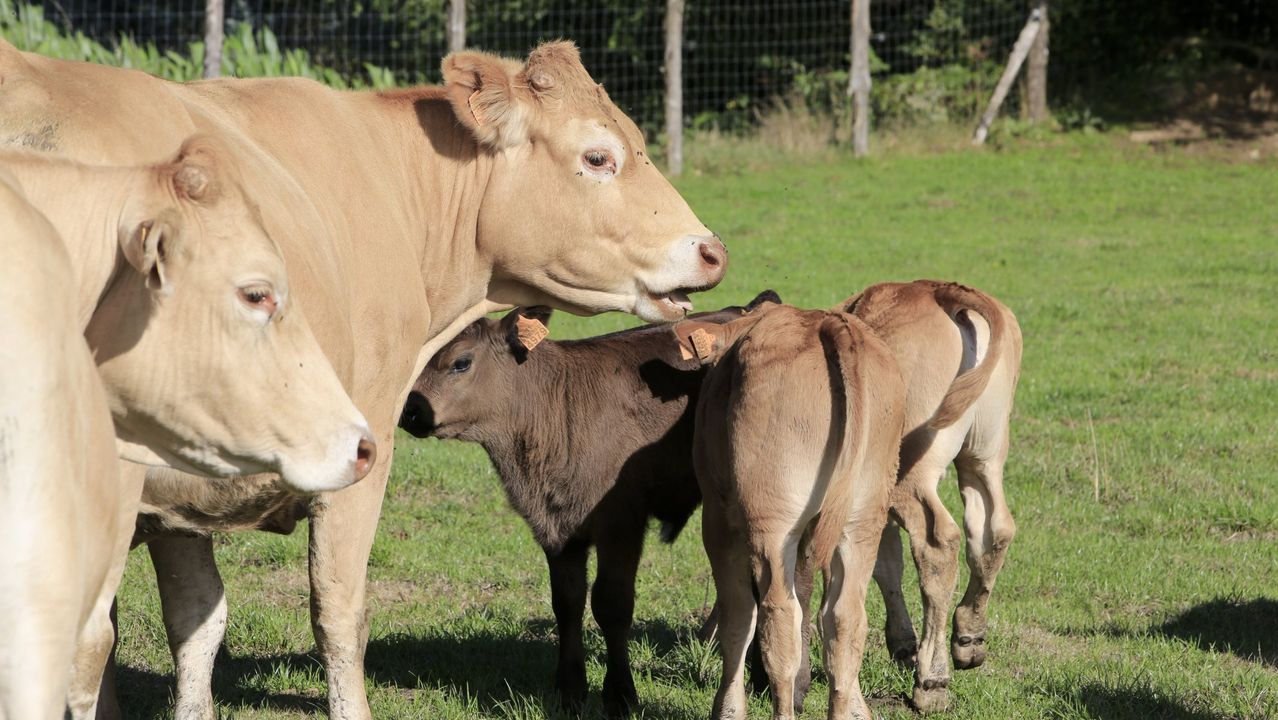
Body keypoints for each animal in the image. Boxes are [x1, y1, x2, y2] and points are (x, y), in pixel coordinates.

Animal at [398, 291, 779, 716]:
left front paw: (620, 693)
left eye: (461, 362)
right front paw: (569, 690)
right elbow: (567, 603)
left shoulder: (621, 525)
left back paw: (763, 680)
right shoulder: (558, 531)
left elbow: (612, 604)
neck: (555, 412)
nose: (409, 410)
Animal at [672, 304, 907, 720]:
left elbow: (737, 618)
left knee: (779, 617)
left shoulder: (718, 520)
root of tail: (826, 322)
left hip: (773, 526)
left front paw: (728, 708)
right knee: (845, 621)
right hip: (862, 520)